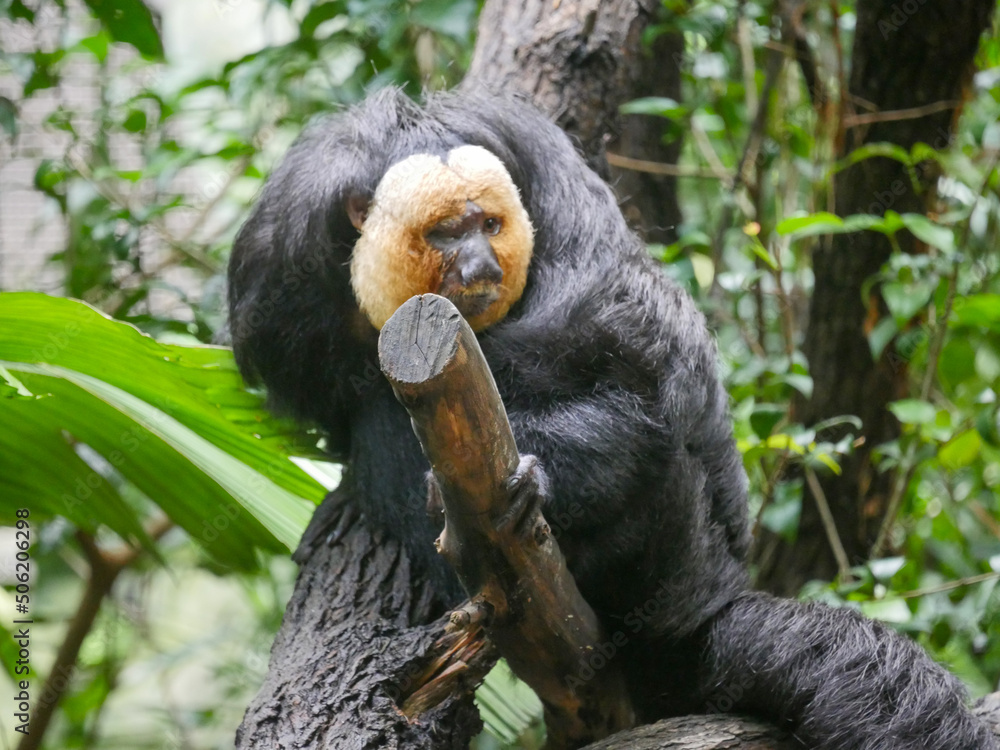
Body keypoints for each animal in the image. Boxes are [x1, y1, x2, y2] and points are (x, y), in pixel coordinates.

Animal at [227, 88, 996, 749]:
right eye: (446, 233)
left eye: (489, 225)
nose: (481, 267)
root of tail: (706, 599)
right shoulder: (283, 262)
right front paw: (341, 491)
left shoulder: (557, 191)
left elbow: (643, 373)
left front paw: (532, 481)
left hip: (673, 560)